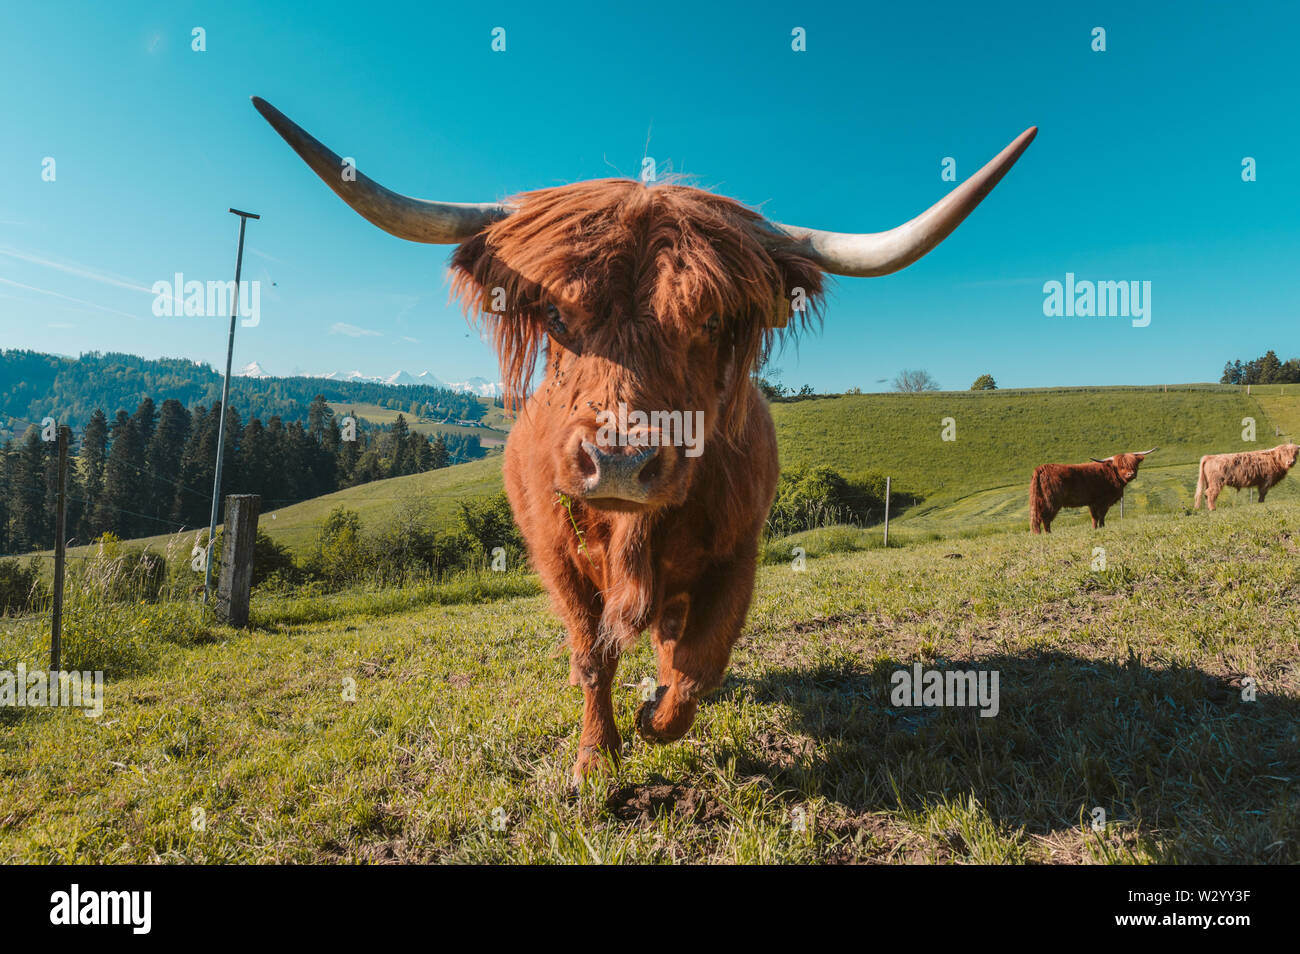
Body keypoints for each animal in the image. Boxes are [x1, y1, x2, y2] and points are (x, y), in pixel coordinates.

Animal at [252, 97, 1036, 780]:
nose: (620, 460)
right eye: (557, 317)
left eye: (712, 322)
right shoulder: (555, 554)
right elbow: (592, 655)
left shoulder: (737, 554)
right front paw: (596, 760)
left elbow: (699, 662)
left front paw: (655, 718)